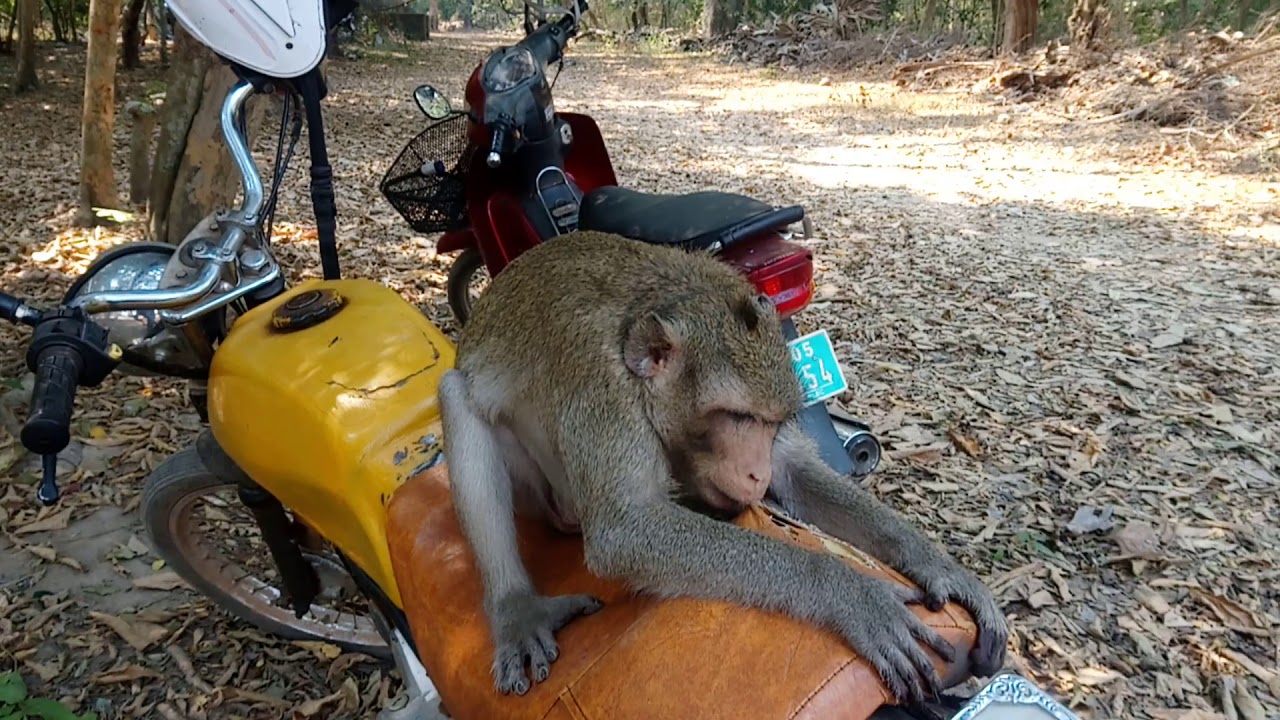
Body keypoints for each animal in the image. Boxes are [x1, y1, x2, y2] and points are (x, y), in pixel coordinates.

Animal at [437, 230, 1008, 704]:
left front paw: (942, 568)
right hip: (540, 499)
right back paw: (516, 608)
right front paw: (852, 594)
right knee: (458, 396)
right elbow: (625, 530)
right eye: (736, 417)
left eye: (770, 423)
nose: (756, 474)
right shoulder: (598, 384)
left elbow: (796, 473)